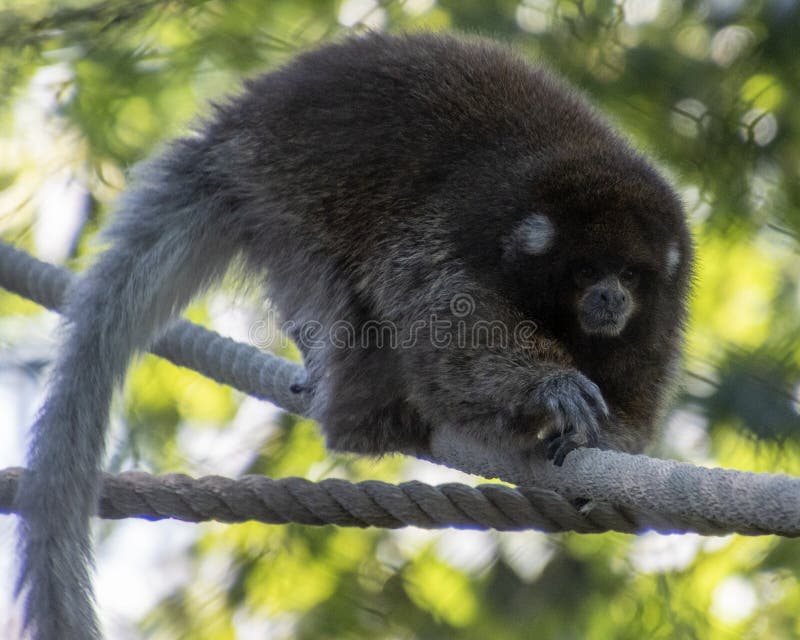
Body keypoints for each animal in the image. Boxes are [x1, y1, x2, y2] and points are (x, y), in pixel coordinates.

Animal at [15, 32, 693, 639]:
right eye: (585, 271)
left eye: (630, 273)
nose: (609, 298)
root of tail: (235, 122)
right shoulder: (453, 228)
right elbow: (438, 316)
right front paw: (549, 389)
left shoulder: (662, 305)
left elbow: (631, 397)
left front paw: (606, 444)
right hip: (276, 183)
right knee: (337, 279)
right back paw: (359, 416)